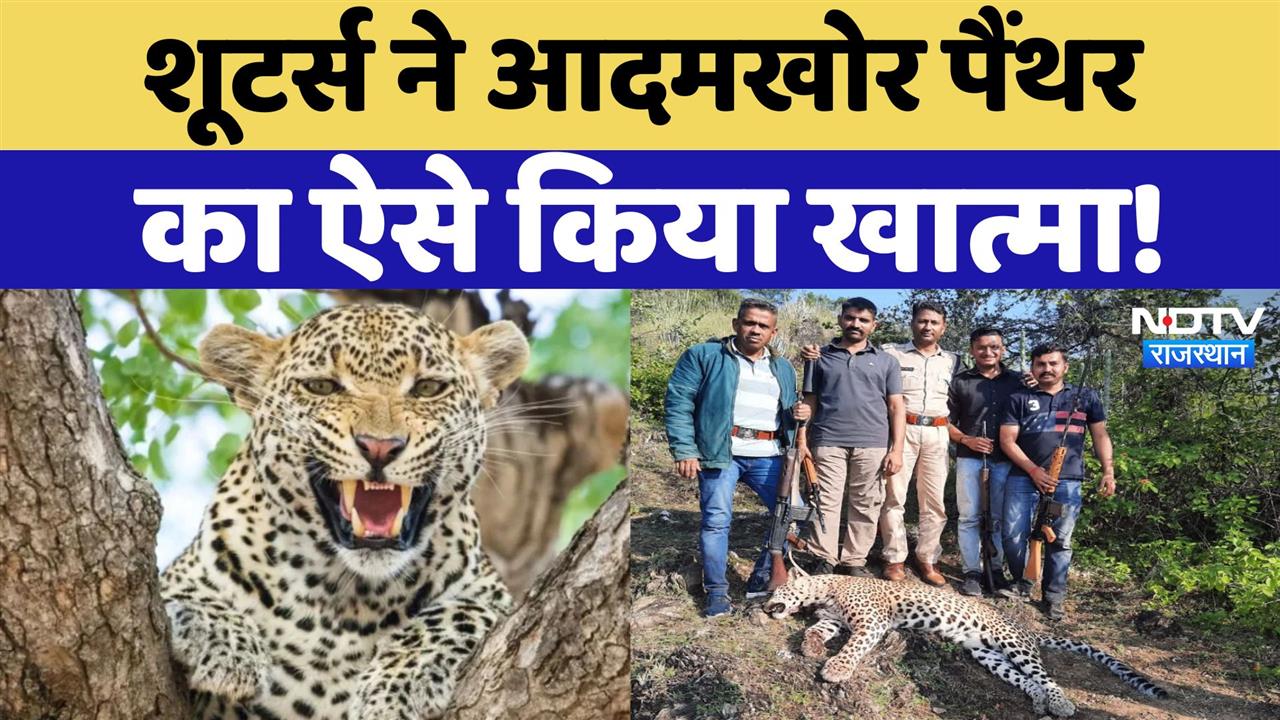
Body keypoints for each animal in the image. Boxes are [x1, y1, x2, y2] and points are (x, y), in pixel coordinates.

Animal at [161, 304, 529, 720]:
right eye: (321, 387)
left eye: (428, 388)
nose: (380, 447)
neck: (348, 598)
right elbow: (179, 596)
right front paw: (228, 644)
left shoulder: (495, 599)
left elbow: (461, 612)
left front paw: (396, 682)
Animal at [765, 574, 1168, 717]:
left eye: (776, 588)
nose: (765, 605)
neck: (826, 589)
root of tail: (1024, 627)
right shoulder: (835, 620)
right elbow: (815, 631)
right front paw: (812, 649)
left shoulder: (872, 621)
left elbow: (853, 646)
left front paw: (836, 669)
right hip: (989, 654)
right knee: (1028, 680)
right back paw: (1039, 703)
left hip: (1012, 643)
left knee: (1046, 676)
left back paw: (1061, 704)